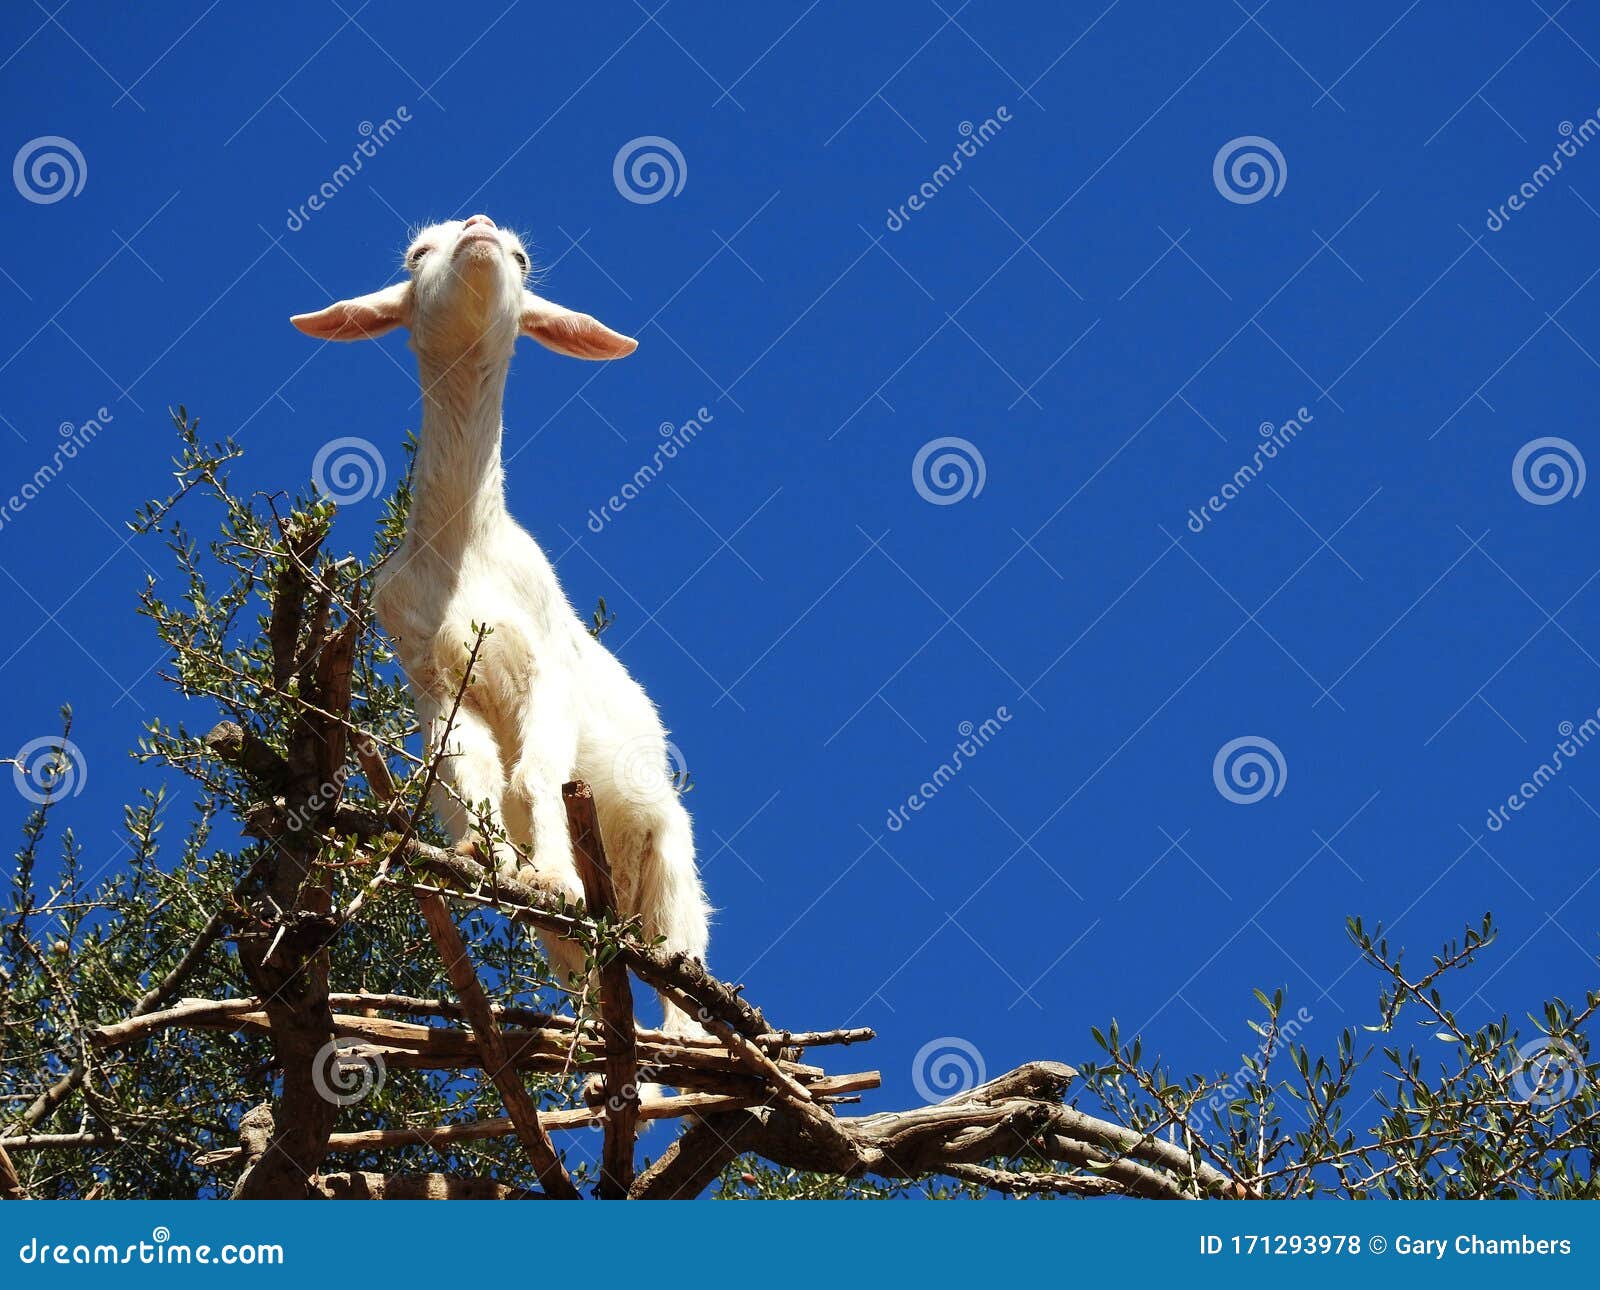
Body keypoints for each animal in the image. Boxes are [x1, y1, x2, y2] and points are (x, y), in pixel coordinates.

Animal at [291, 215, 711, 1035]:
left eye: (519, 255)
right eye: (417, 253)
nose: (480, 229)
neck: (465, 547)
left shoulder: (544, 664)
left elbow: (531, 775)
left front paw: (550, 874)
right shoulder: (431, 677)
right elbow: (473, 772)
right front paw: (492, 862)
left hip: (671, 851)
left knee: (684, 958)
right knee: (590, 975)